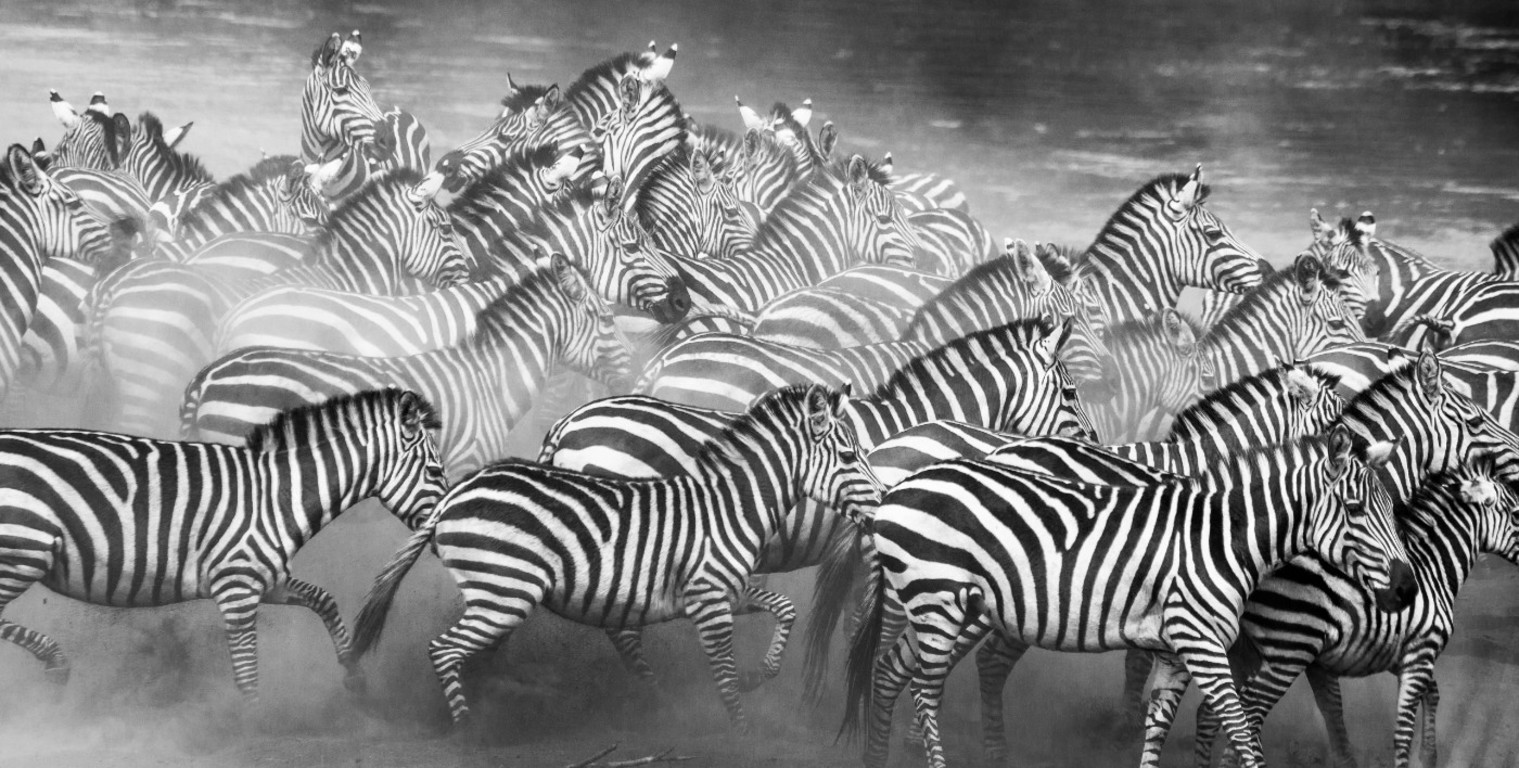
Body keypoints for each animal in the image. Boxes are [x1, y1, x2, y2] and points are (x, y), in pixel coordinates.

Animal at [0, 388, 447, 700]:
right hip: (21, 552)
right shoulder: (237, 589)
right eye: (435, 471)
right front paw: (249, 724)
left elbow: (325, 600)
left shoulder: (265, 579)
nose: (442, 533)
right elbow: (247, 674)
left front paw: (353, 672)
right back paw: (56, 662)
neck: (275, 496)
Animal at [349, 384, 883, 730]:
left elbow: (785, 611)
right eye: (850, 456)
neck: (729, 503)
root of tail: (450, 498)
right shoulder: (709, 599)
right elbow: (725, 677)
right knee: (445, 649)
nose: (884, 502)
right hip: (505, 595)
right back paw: (468, 727)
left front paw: (761, 675)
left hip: (496, 592)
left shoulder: (721, 589)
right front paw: (739, 731)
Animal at [841, 426, 1409, 768]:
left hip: (947, 604)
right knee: (924, 689)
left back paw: (875, 757)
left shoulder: (1177, 651)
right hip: (938, 601)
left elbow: (1163, 726)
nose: (1405, 586)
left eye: (1392, 506)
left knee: (891, 670)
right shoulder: (1204, 644)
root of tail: (896, 490)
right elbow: (1240, 727)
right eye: (1357, 509)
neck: (1224, 539)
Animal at [1193, 464, 1519, 768]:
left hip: (1246, 652)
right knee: (1246, 715)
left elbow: (1433, 694)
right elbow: (1403, 730)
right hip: (1288, 652)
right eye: (1517, 513)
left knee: (1214, 712)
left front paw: (1428, 756)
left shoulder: (1402, 657)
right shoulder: (1421, 653)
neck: (1432, 568)